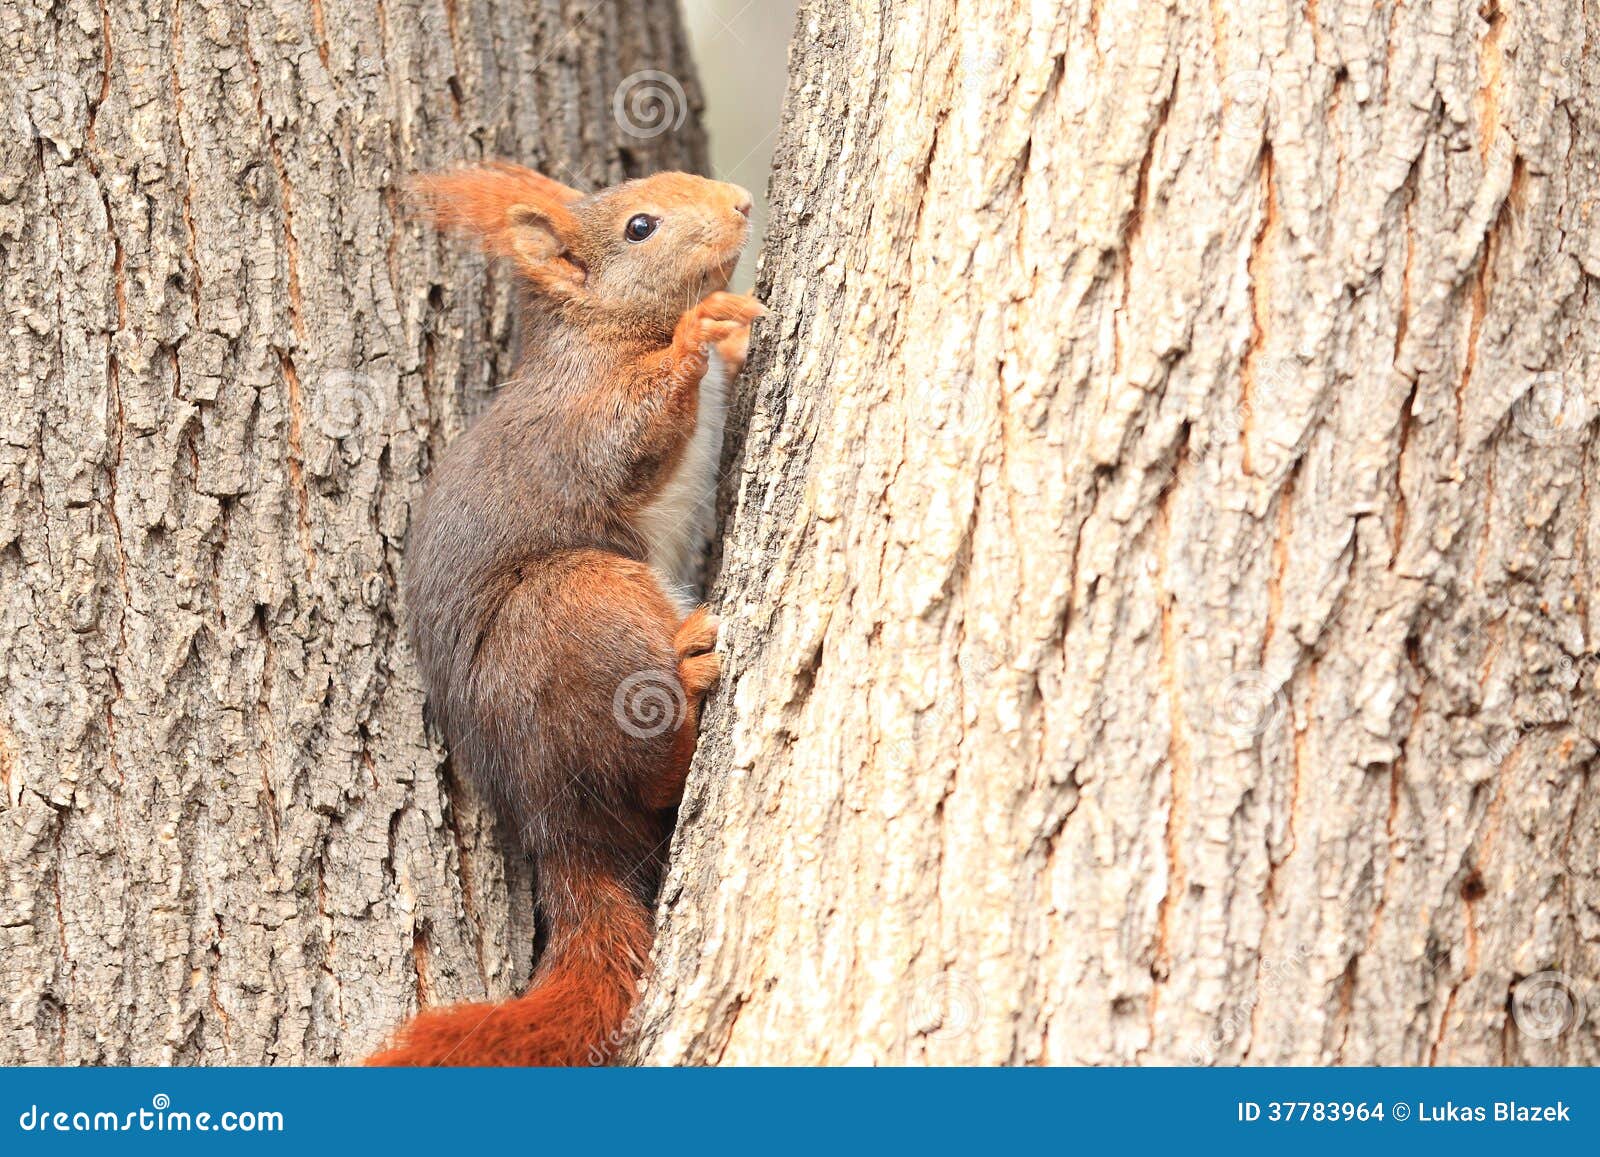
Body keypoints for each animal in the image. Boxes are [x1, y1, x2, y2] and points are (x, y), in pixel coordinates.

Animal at [365, 162, 762, 1066]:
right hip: (580, 603)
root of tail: (554, 822)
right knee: (649, 771)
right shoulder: (584, 421)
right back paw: (690, 668)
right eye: (641, 226)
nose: (740, 202)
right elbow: (633, 438)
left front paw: (727, 342)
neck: (604, 332)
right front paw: (701, 332)